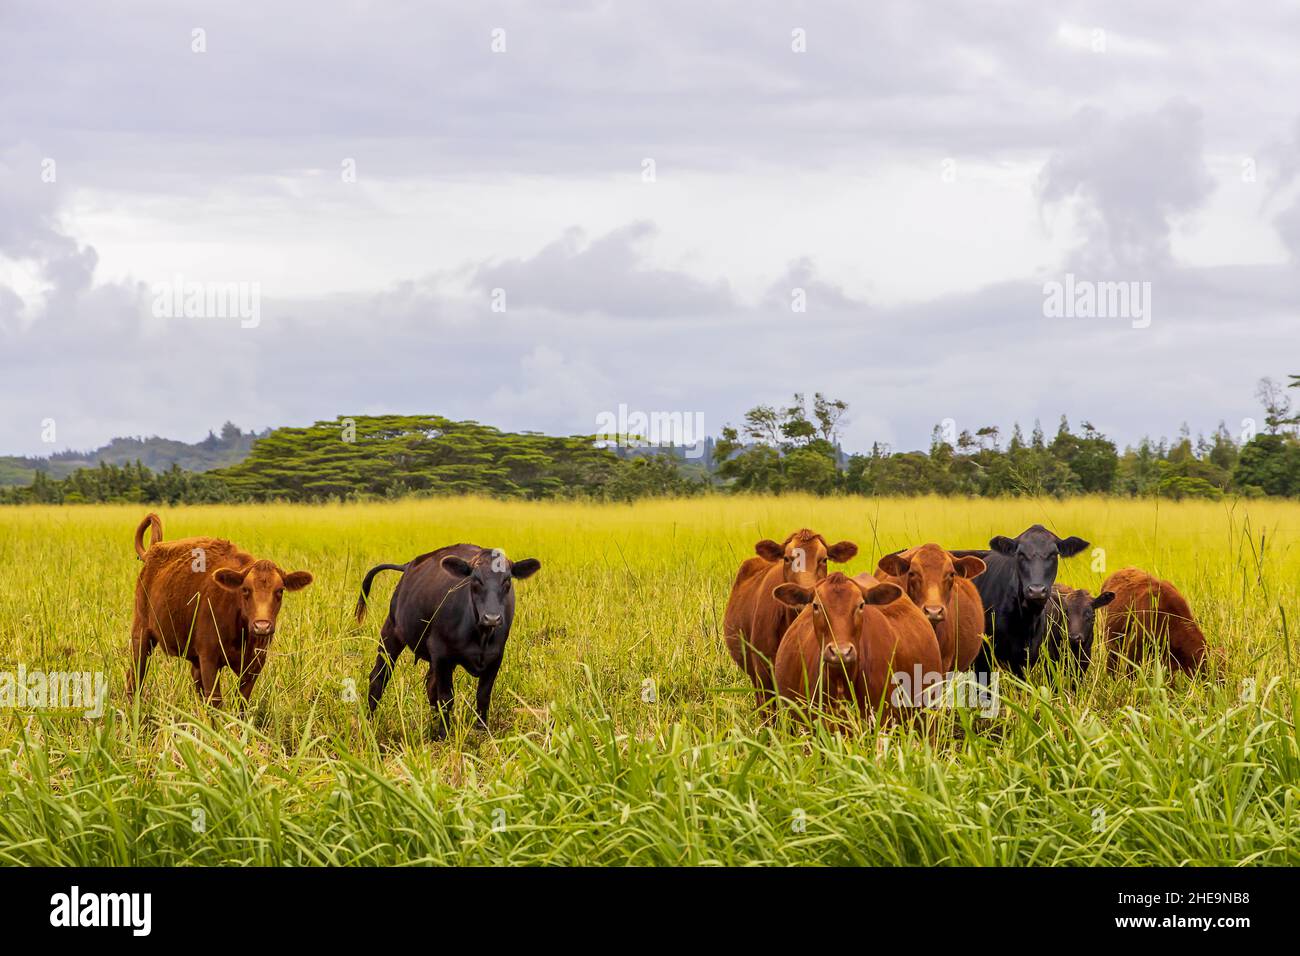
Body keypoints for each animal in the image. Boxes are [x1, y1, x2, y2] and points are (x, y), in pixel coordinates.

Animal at [128, 513, 313, 706]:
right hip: (141, 632)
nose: (262, 626)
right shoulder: (209, 659)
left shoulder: (255, 663)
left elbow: (241, 702)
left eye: (280, 590)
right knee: (135, 675)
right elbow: (215, 701)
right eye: (245, 589)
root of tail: (155, 548)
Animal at [356, 544, 541, 738]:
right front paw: (444, 734)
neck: (480, 635)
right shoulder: (441, 654)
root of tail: (409, 565)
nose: (491, 618)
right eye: (475, 580)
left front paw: (482, 731)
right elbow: (446, 697)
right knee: (379, 677)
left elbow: (483, 696)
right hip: (391, 633)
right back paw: (369, 723)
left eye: (507, 580)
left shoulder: (495, 657)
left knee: (429, 685)